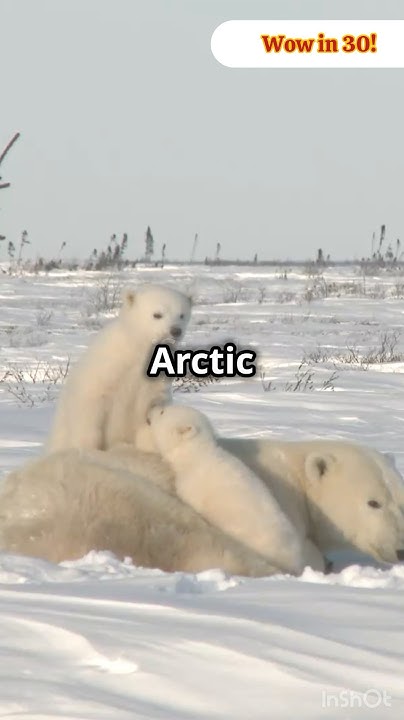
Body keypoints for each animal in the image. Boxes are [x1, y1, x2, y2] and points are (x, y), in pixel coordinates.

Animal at [46, 284, 192, 453]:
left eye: (182, 315)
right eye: (157, 314)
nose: (175, 331)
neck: (136, 351)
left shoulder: (155, 382)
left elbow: (152, 407)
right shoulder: (107, 370)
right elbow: (90, 406)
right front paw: (89, 446)